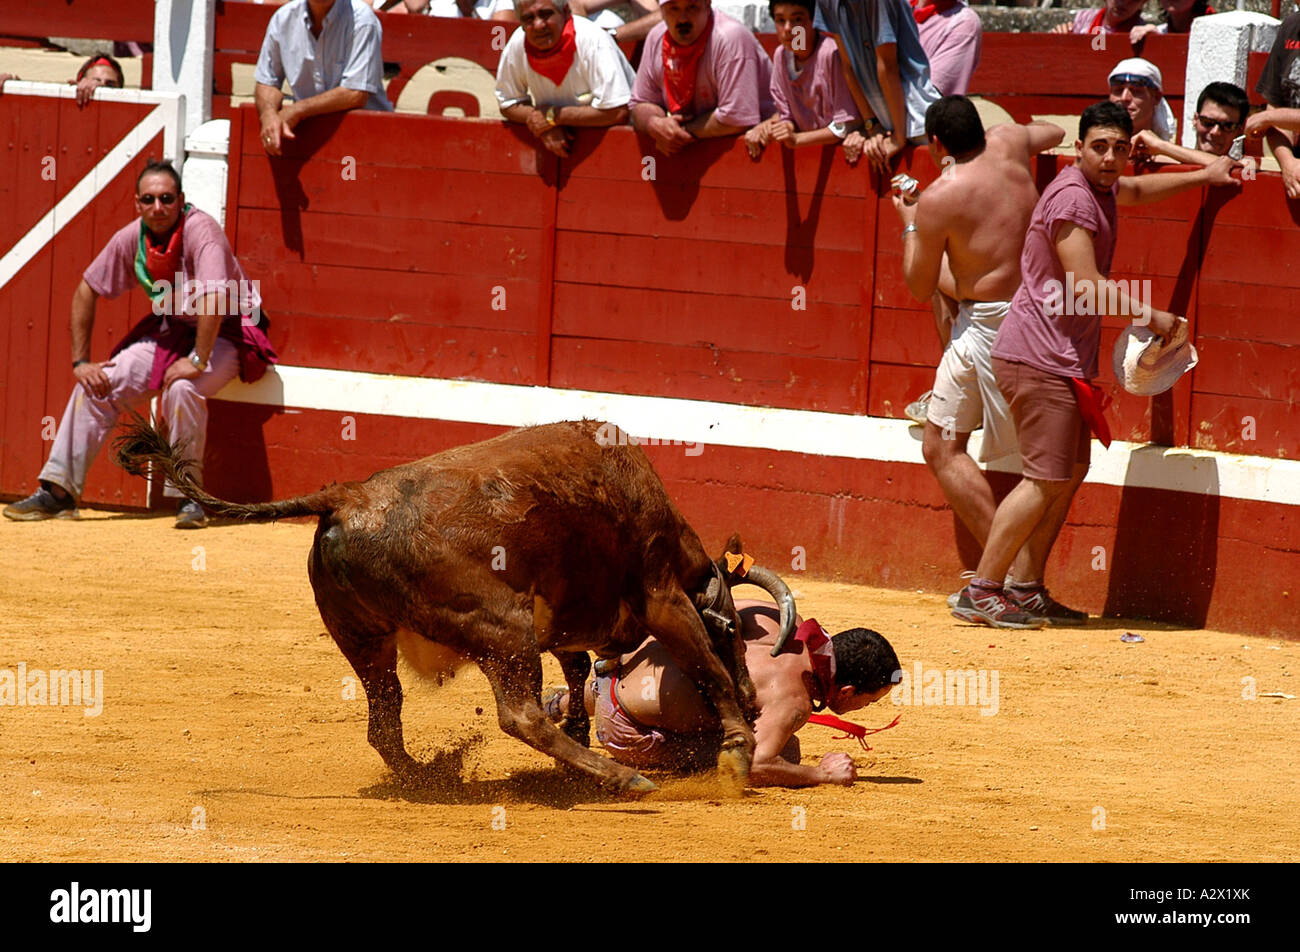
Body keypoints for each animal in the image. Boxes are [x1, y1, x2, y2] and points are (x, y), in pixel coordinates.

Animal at [114, 418, 797, 797]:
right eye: (738, 633)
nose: (757, 702)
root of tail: (344, 496)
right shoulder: (660, 597)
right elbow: (706, 666)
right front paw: (738, 751)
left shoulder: (569, 626)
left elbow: (579, 676)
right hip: (501, 628)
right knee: (518, 715)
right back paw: (624, 779)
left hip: (366, 641)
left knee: (384, 723)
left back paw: (429, 776)